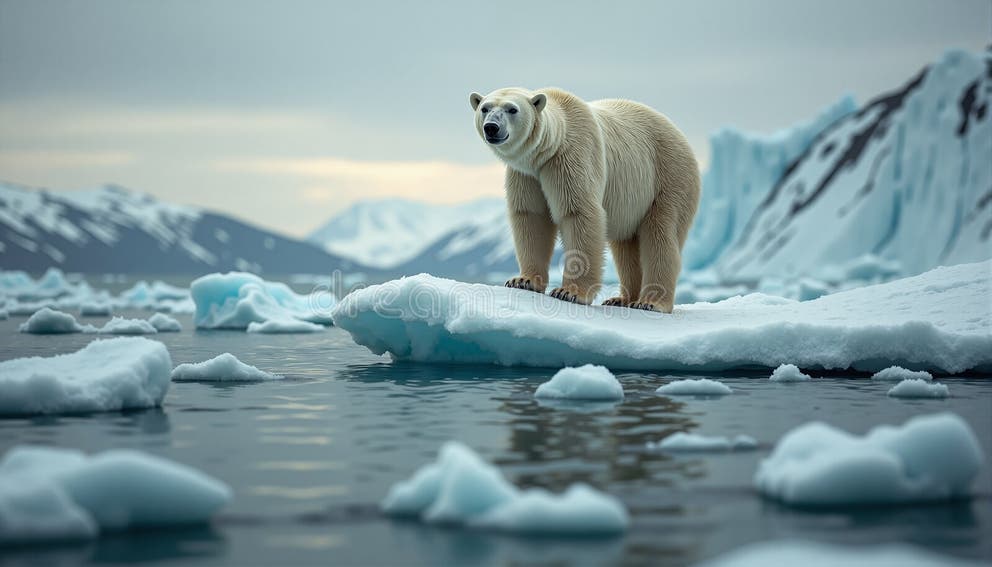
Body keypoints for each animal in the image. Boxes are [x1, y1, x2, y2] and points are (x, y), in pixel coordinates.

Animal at [469, 87, 701, 313]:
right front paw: (523, 281)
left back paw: (650, 302)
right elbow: (532, 217)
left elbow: (578, 213)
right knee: (626, 245)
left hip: (668, 177)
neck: (549, 147)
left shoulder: (571, 157)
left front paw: (569, 292)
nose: (491, 127)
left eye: (512, 109)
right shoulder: (527, 174)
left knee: (660, 234)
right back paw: (622, 299)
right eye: (485, 108)